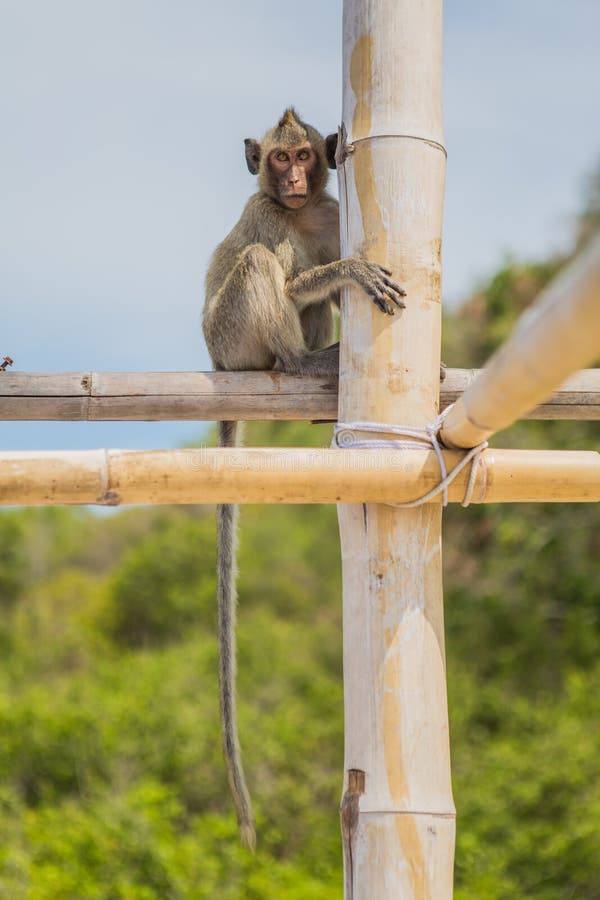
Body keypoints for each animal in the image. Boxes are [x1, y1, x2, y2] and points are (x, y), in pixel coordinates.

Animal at [202, 108, 407, 850]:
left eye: (302, 157)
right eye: (278, 158)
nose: (291, 179)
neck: (296, 210)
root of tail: (218, 365)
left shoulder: (327, 211)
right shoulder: (267, 216)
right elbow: (291, 272)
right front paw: (348, 268)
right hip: (231, 338)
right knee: (264, 269)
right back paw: (298, 362)